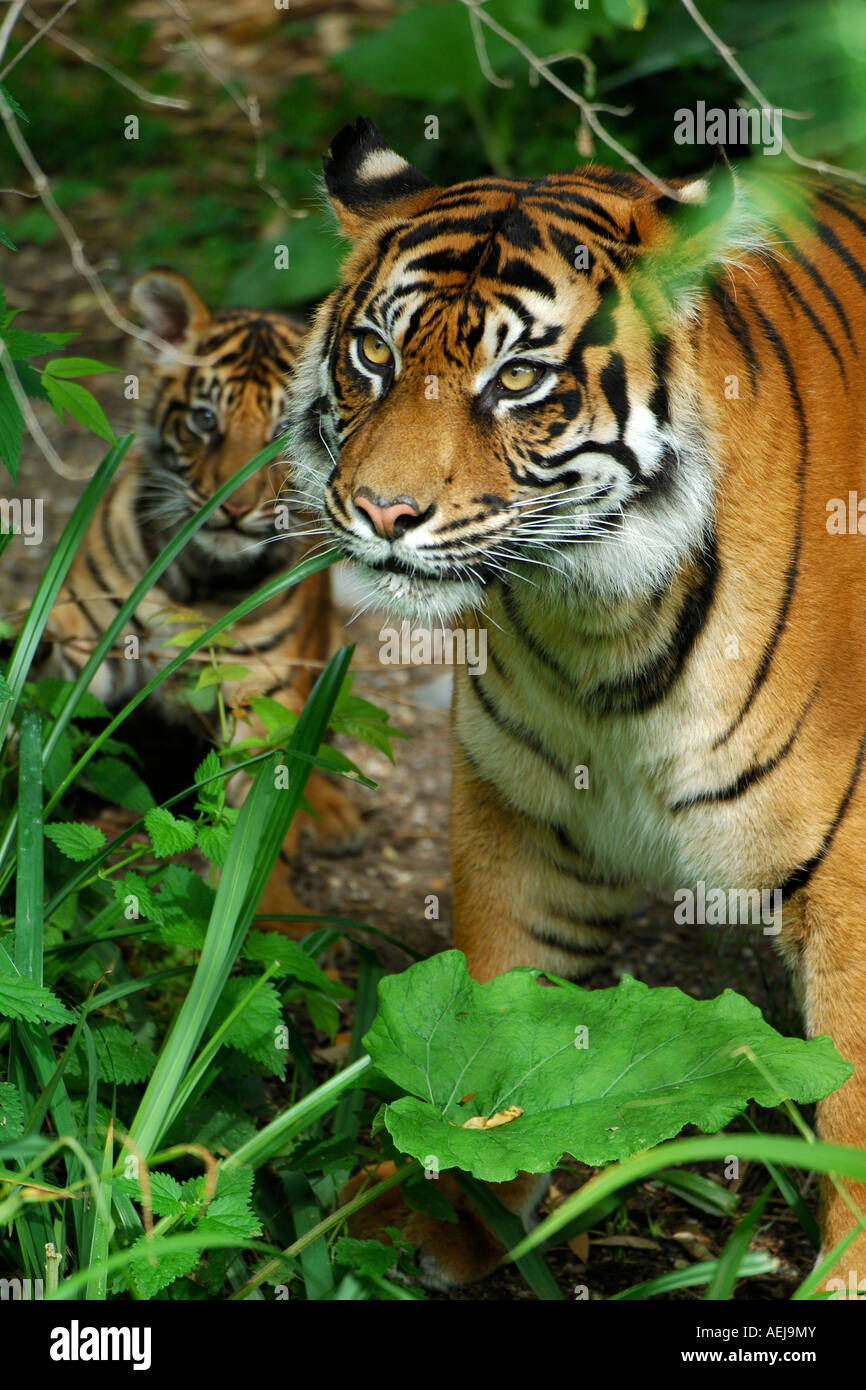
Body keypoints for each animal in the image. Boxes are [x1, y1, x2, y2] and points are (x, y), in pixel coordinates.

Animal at [42, 267, 361, 925]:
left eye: (282, 432)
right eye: (205, 421)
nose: (232, 508)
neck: (198, 577)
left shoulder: (259, 698)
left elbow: (257, 821)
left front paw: (264, 920)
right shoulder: (90, 645)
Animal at [287, 117, 866, 1291]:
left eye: (515, 378)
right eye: (373, 353)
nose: (380, 510)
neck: (597, 623)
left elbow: (852, 1100)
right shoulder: (527, 815)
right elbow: (500, 1023)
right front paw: (438, 1209)